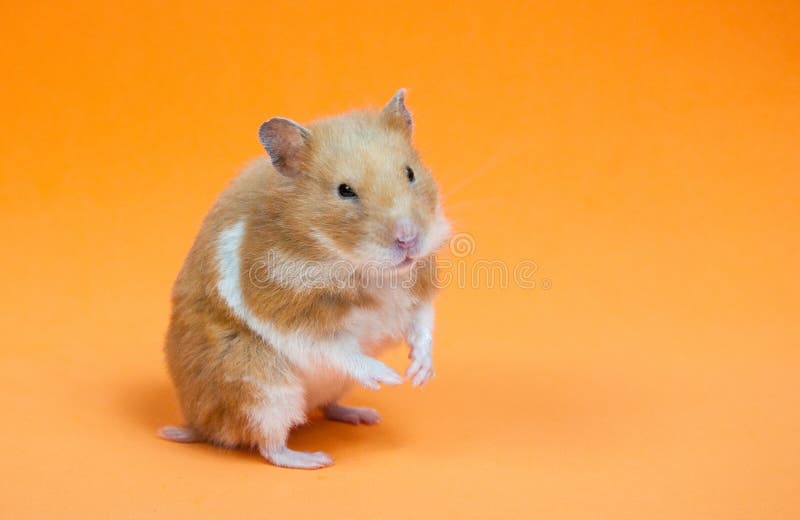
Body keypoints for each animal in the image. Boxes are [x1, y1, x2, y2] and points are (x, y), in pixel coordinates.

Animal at [159, 90, 451, 469]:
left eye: (410, 173)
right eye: (344, 190)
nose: (408, 239)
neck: (366, 268)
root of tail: (197, 423)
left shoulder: (417, 292)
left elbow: (422, 325)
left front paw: (418, 375)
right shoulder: (289, 316)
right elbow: (337, 348)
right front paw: (390, 378)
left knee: (326, 407)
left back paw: (363, 414)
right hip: (262, 388)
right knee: (268, 445)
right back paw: (314, 459)